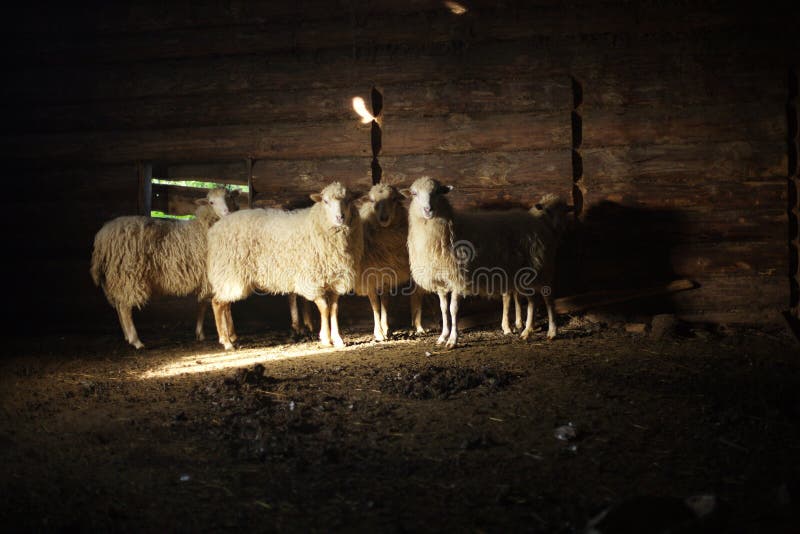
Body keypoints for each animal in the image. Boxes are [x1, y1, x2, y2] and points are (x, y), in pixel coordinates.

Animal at [90, 187, 239, 349]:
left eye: (229, 197)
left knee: (118, 304)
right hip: (128, 275)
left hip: (115, 277)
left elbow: (203, 304)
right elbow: (223, 304)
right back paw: (136, 341)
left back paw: (126, 337)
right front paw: (229, 336)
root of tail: (101, 238)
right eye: (211, 202)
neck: (205, 226)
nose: (226, 212)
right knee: (124, 307)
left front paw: (201, 333)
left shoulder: (206, 277)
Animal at [207, 181, 364, 350]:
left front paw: (338, 339)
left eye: (348, 200)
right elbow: (324, 308)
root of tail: (215, 230)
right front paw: (326, 339)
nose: (340, 217)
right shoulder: (311, 281)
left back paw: (231, 336)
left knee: (225, 304)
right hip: (229, 274)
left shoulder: (338, 279)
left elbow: (334, 309)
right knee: (217, 303)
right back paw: (226, 341)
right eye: (325, 201)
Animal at [353, 183, 425, 341]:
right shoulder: (369, 278)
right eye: (372, 201)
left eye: (393, 199)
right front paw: (379, 333)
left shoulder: (387, 274)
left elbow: (385, 302)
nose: (383, 218)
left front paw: (386, 328)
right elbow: (375, 305)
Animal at [402, 177, 569, 348]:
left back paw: (552, 332)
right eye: (414, 194)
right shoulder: (441, 281)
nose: (428, 210)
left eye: (437, 192)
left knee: (548, 298)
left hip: (542, 266)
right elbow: (443, 309)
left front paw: (452, 340)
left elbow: (453, 309)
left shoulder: (458, 277)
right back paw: (526, 332)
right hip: (525, 273)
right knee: (532, 301)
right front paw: (443, 336)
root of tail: (539, 223)